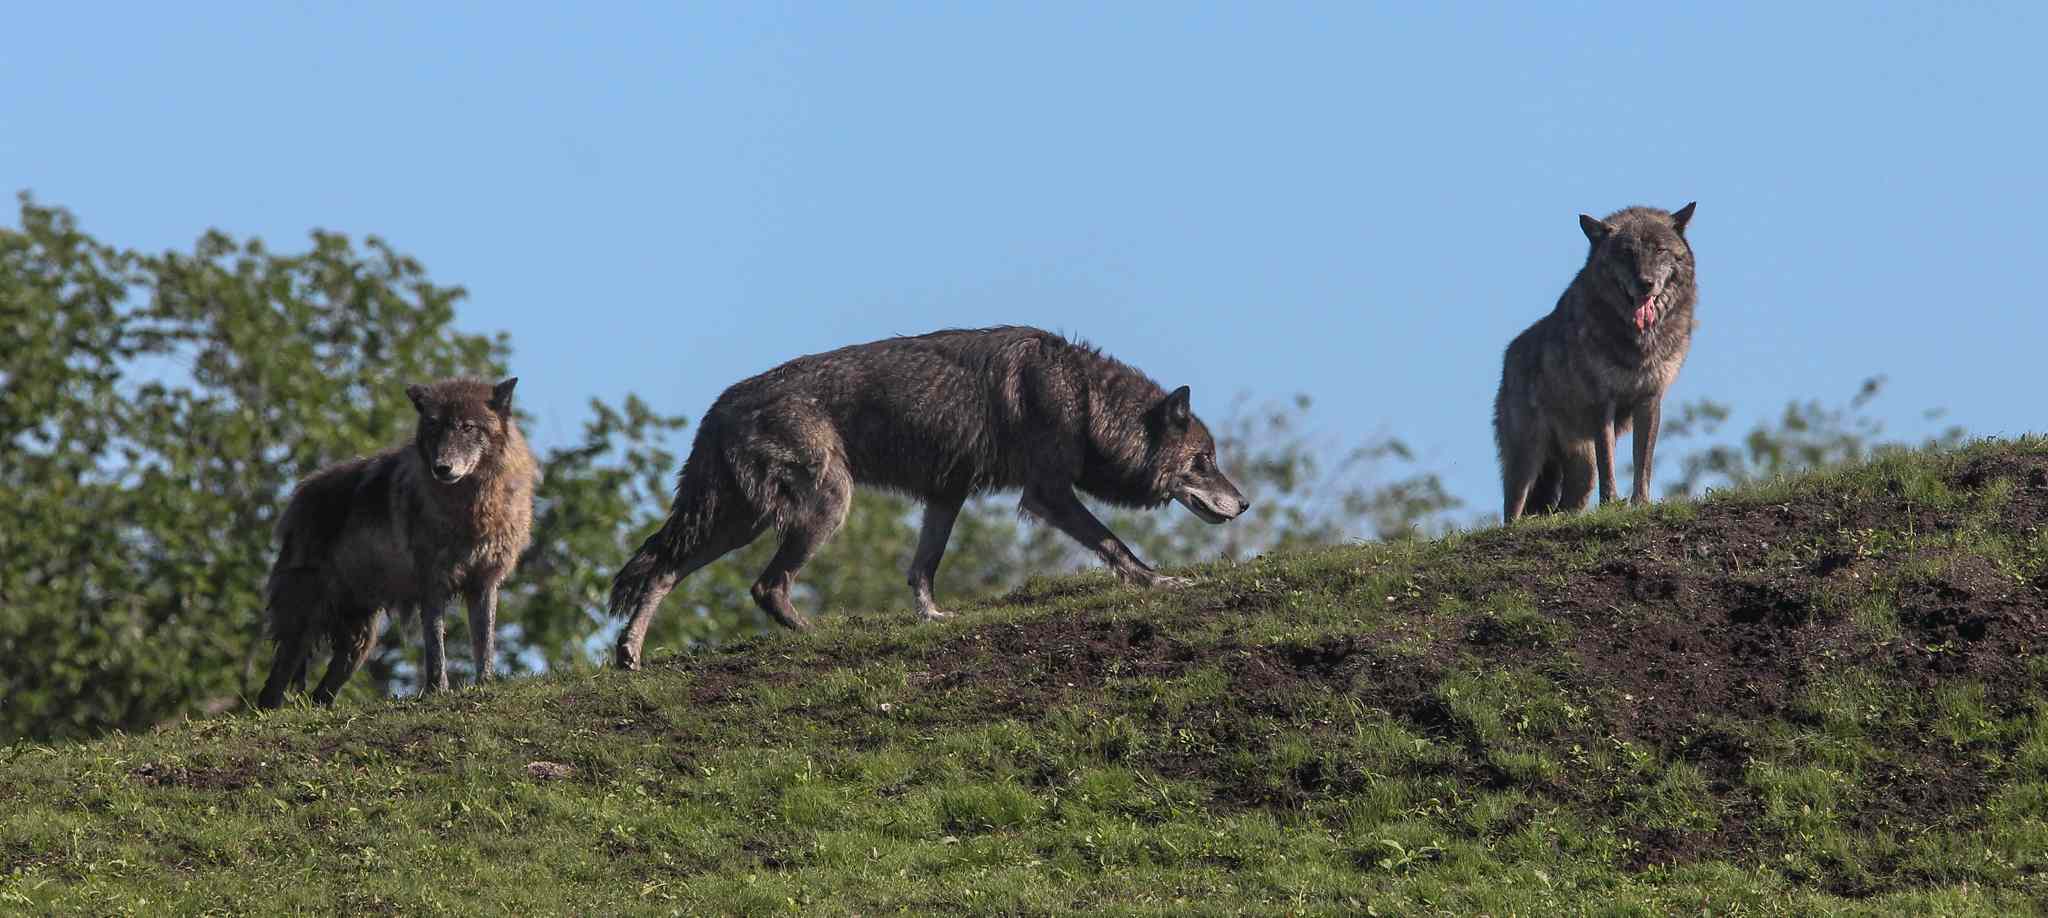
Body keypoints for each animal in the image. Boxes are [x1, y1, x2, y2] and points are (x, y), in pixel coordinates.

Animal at [256, 377, 538, 708]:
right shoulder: (432, 584)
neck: (472, 510)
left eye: (467, 427)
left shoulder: (484, 582)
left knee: (320, 693)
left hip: (360, 640)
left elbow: (484, 643)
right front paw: (436, 691)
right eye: (433, 427)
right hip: (305, 622)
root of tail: (297, 495)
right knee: (273, 686)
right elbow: (435, 647)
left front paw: (485, 685)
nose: (441, 468)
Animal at [609, 325, 1250, 669]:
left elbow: (923, 568)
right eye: (1206, 461)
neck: (1085, 399)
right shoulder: (1048, 494)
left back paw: (629, 654)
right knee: (764, 586)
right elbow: (1117, 547)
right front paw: (1160, 582)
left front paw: (932, 617)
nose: (1243, 504)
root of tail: (720, 404)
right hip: (822, 508)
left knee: (663, 567)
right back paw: (820, 635)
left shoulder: (948, 491)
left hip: (740, 521)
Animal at [1494, 202, 1698, 522]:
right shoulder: (1603, 402)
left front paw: (1640, 503)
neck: (1637, 341)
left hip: (1579, 475)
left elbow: (1643, 463)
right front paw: (1610, 503)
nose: (1645, 284)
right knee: (1512, 510)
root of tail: (1509, 355)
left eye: (1659, 250)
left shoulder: (1649, 399)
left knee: (1560, 508)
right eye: (1626, 253)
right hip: (1526, 461)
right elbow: (1609, 464)